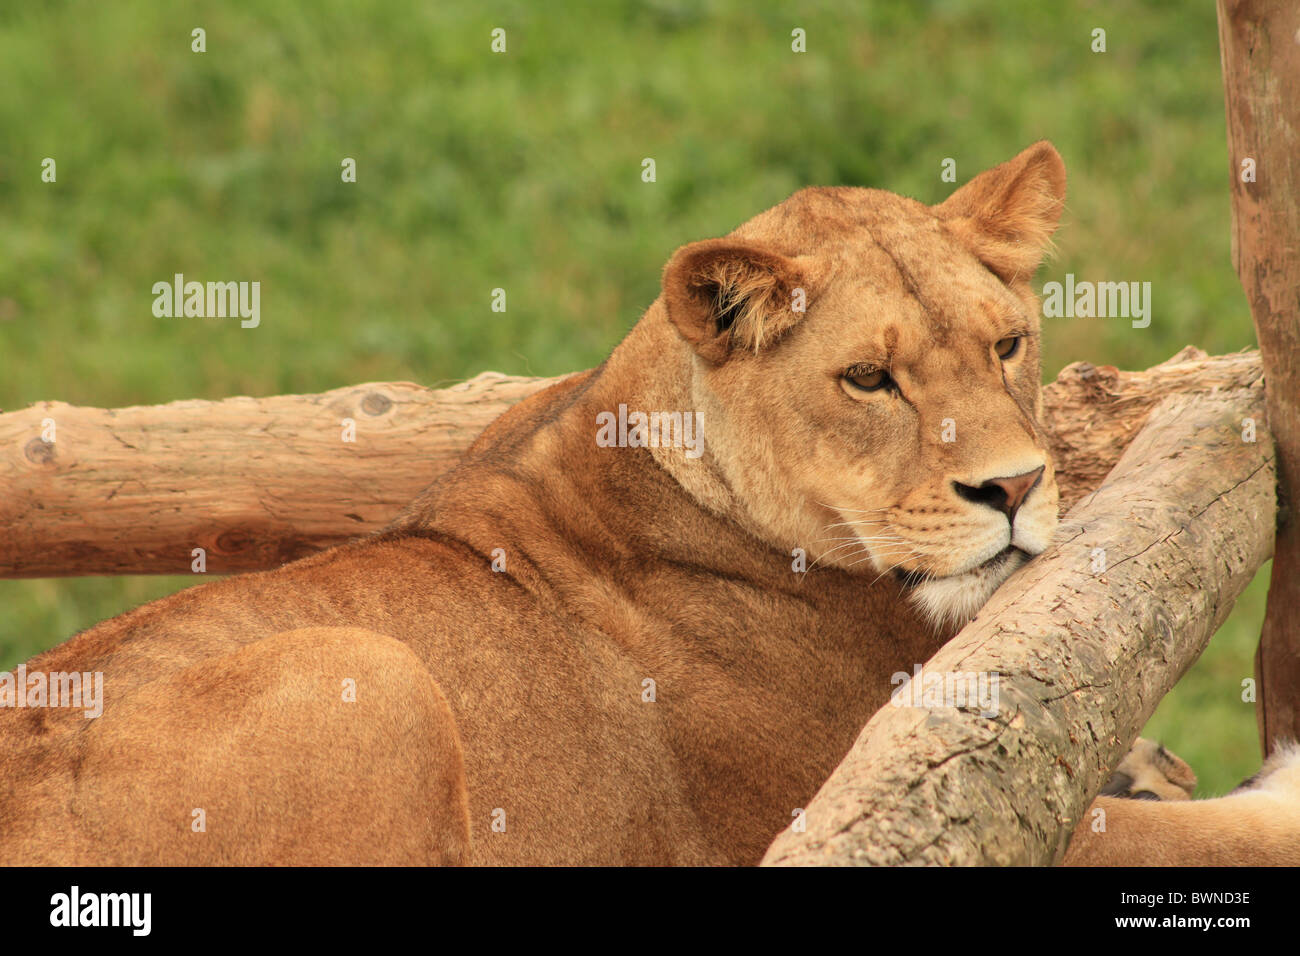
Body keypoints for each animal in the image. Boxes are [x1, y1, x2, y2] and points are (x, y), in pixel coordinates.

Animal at [0, 141, 1286, 866]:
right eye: (868, 379)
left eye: (1007, 344)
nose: (1015, 488)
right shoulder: (900, 799)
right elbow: (1202, 836)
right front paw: (1273, 790)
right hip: (371, 676)